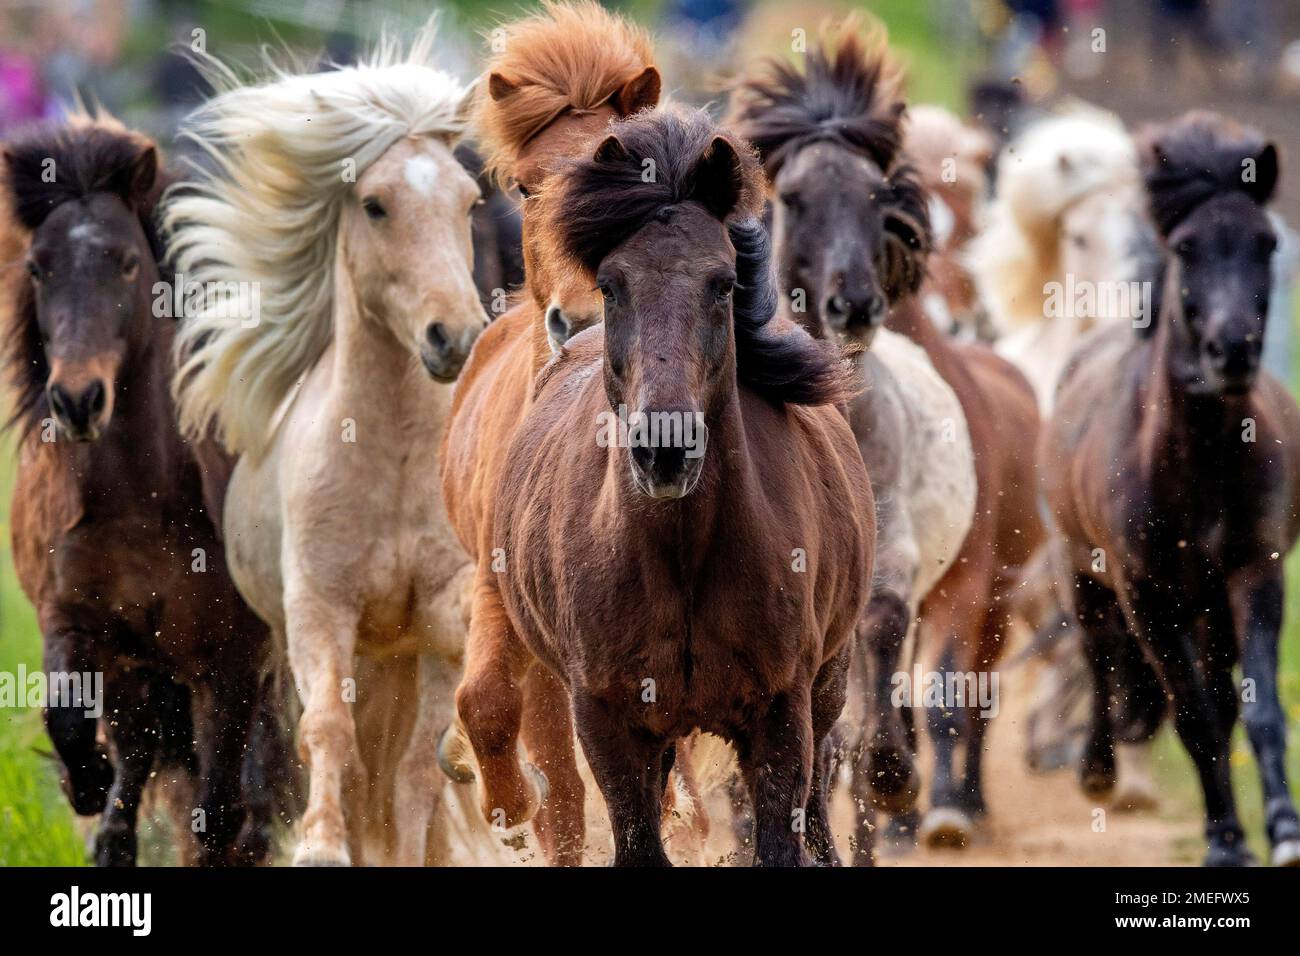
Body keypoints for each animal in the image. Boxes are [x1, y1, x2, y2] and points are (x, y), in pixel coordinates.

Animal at [1, 111, 291, 866]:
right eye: (38, 267)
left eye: (127, 263)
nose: (78, 400)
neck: (136, 506)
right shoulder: (74, 620)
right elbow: (71, 722)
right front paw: (84, 784)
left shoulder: (234, 658)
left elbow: (222, 810)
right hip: (142, 669)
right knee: (135, 768)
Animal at [167, 26, 490, 866]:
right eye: (375, 205)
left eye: (470, 201)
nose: (455, 338)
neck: (395, 461)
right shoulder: (319, 609)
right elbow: (329, 733)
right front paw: (321, 846)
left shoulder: (439, 618)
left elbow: (419, 766)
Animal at [454, 105, 874, 867]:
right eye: (612, 283)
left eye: (722, 282)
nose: (665, 450)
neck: (681, 555)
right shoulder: (609, 718)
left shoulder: (782, 713)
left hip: (828, 682)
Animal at [729, 20, 1044, 849]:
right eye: (794, 197)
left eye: (876, 197)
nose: (856, 304)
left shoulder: (898, 558)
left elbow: (884, 634)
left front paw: (894, 776)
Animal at [1040, 111, 1300, 867]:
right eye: (1185, 247)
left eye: (1267, 240)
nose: (1233, 350)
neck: (1197, 466)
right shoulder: (1146, 594)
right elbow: (1192, 717)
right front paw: (1226, 843)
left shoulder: (1255, 572)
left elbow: (1258, 710)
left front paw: (1281, 829)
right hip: (1085, 577)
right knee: (1099, 661)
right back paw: (1098, 770)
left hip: (1208, 606)